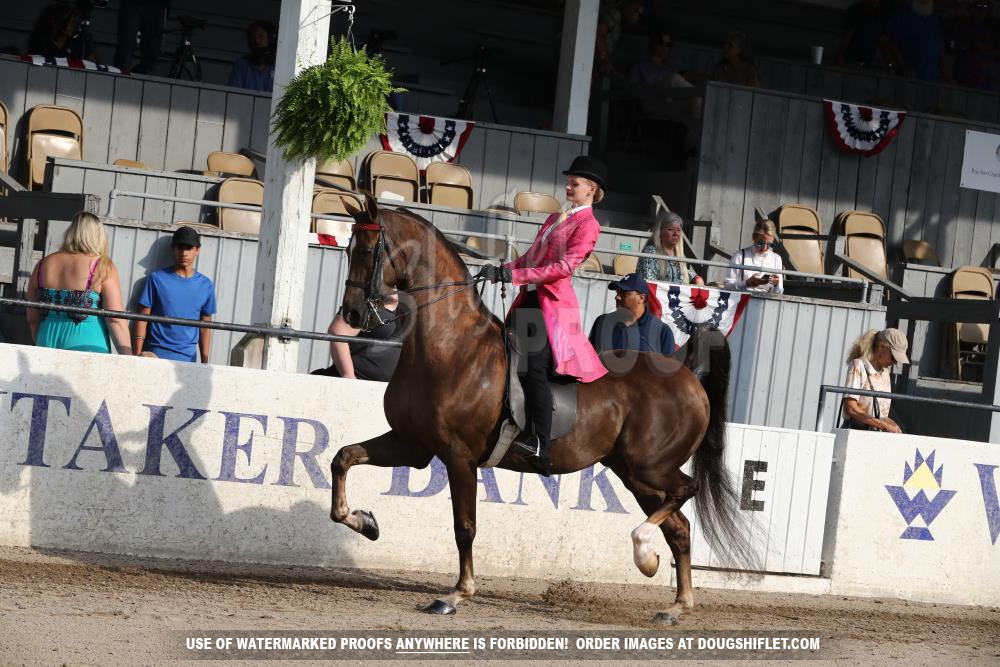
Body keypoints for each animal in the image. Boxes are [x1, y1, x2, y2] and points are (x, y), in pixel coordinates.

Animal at [330, 194, 754, 623]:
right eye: (348, 248)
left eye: (369, 250)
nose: (352, 315)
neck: (449, 348)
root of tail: (684, 370)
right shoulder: (411, 445)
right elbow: (343, 459)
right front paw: (365, 522)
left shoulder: (458, 456)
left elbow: (464, 526)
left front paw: (457, 594)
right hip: (634, 473)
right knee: (680, 527)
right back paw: (674, 602)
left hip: (649, 466)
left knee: (686, 490)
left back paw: (644, 550)